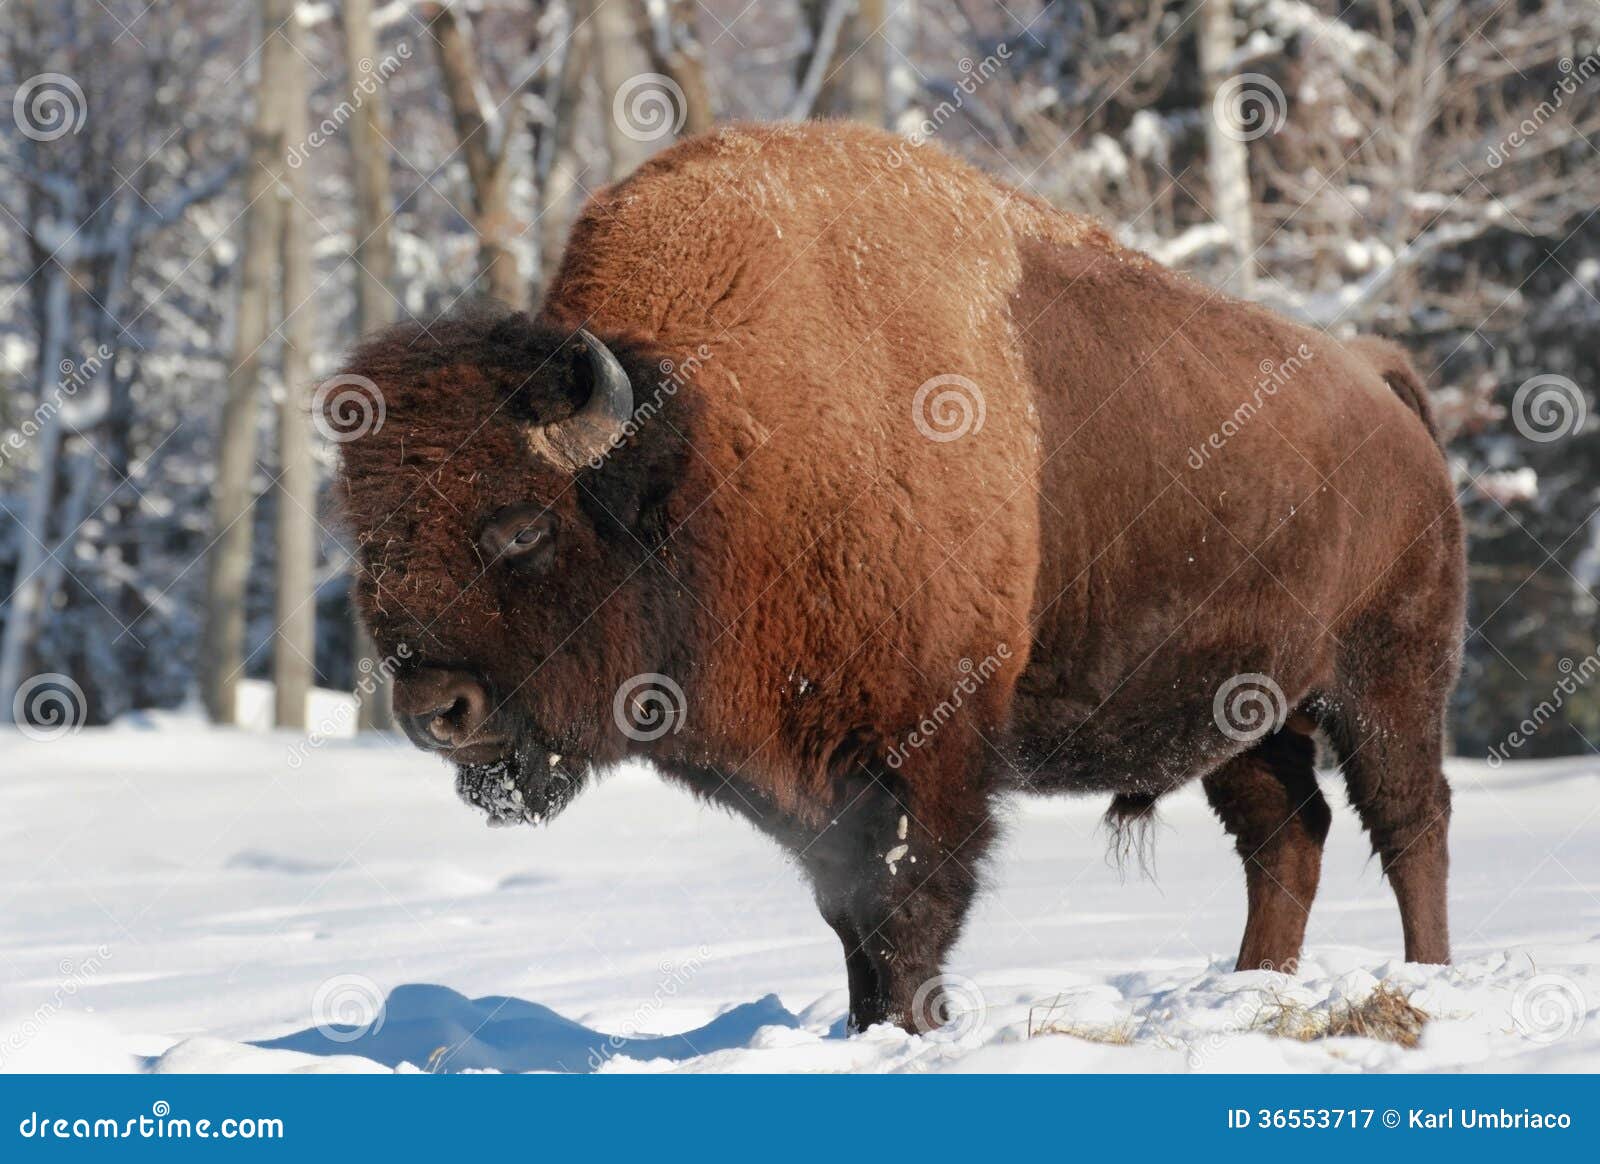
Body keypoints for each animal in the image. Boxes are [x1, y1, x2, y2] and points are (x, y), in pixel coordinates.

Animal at [330, 122, 1464, 1034]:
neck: (708, 446)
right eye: (366, 540)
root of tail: (1379, 384)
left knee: (1410, 821)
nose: (436, 709)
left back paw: (1428, 982)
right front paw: (869, 1029)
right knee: (1286, 837)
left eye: (523, 530)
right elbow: (850, 923)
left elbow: (908, 910)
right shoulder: (815, 779)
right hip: (1246, 713)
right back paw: (1253, 989)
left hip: (1384, 683)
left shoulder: (925, 753)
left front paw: (910, 1033)